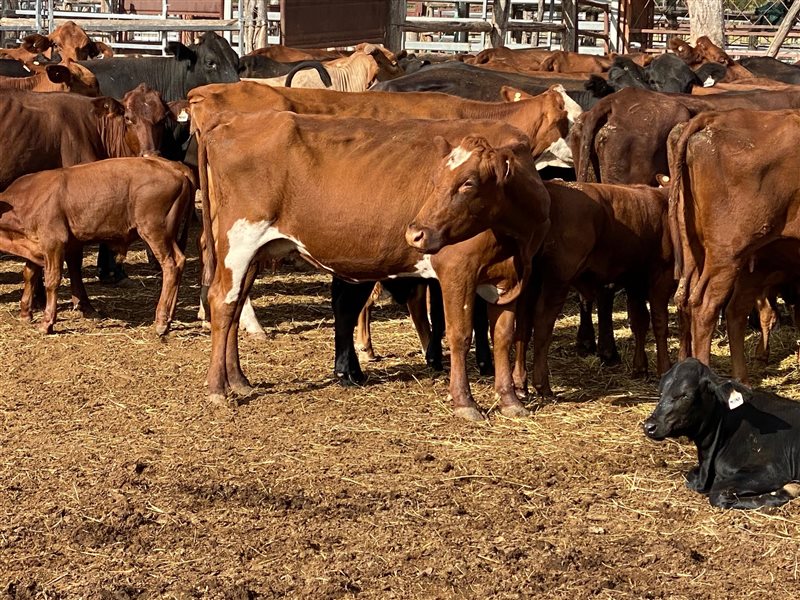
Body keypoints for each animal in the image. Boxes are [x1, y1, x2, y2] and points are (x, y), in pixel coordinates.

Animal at [191, 108, 551, 420]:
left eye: (469, 183)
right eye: (436, 178)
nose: (416, 232)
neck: (515, 239)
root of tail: (231, 122)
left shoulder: (508, 277)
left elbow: (503, 335)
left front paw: (510, 400)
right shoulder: (457, 272)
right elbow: (460, 335)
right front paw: (465, 402)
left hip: (253, 252)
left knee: (236, 306)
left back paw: (238, 380)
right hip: (239, 241)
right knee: (222, 303)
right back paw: (217, 389)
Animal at [644, 359, 800, 509]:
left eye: (685, 395)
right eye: (661, 393)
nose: (649, 426)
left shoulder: (772, 470)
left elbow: (717, 493)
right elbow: (690, 475)